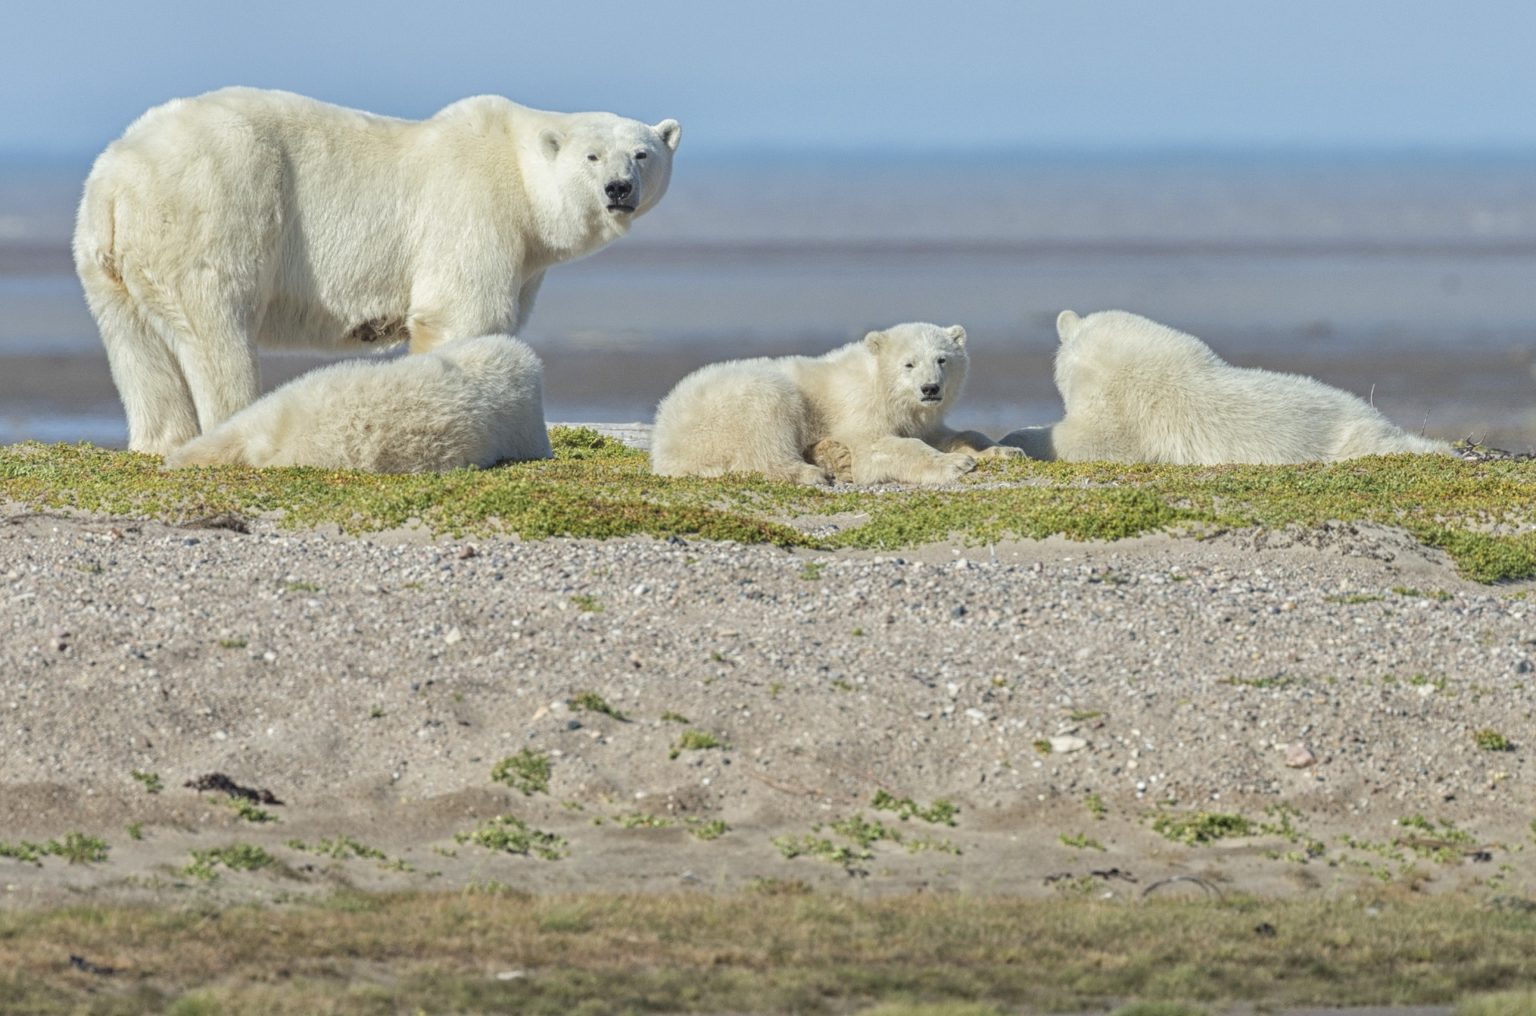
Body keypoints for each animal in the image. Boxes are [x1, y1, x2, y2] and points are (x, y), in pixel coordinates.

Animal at [73, 86, 681, 455]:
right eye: (592, 156)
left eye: (642, 154)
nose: (619, 189)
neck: (518, 174)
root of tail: (115, 178)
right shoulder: (472, 209)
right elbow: (463, 316)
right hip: (214, 205)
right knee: (217, 328)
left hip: (106, 258)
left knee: (135, 345)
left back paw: (160, 441)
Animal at [650, 323, 1023, 485]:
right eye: (909, 363)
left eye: (942, 359)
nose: (930, 389)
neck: (879, 384)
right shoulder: (858, 406)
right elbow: (876, 445)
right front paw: (955, 464)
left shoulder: (919, 417)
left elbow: (949, 433)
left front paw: (1003, 450)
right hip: (740, 400)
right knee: (766, 432)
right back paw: (811, 471)